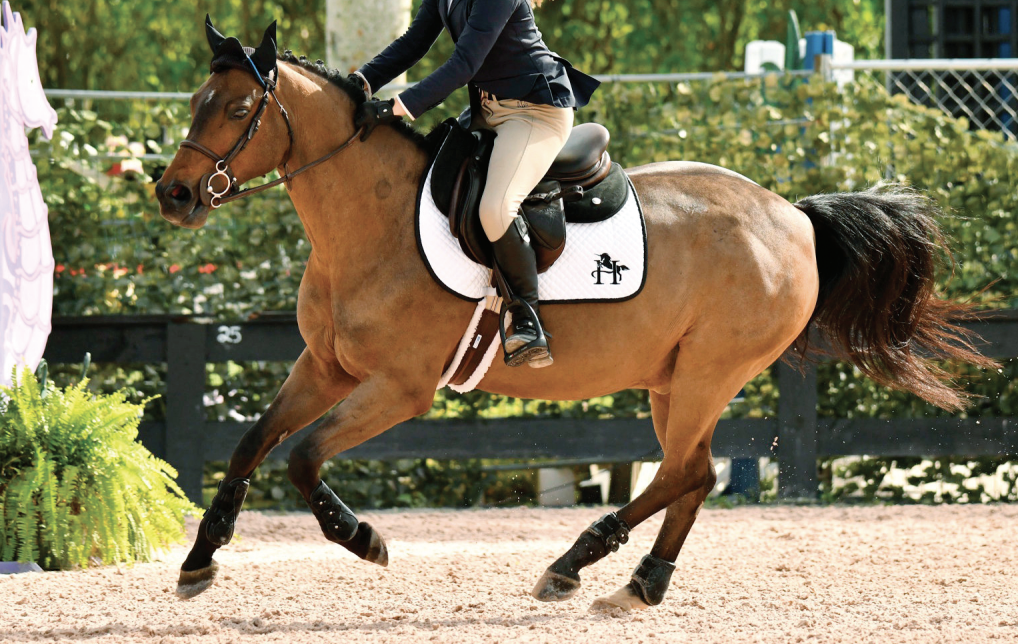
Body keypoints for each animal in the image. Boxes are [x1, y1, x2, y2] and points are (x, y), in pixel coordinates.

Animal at [155, 33, 995, 611]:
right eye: (197, 100)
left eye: (238, 109)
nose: (174, 195)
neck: (370, 222)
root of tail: (792, 214)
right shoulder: (324, 367)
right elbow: (251, 443)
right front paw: (199, 560)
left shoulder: (399, 388)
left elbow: (301, 456)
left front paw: (365, 539)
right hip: (675, 378)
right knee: (692, 475)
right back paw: (640, 582)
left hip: (710, 370)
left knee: (684, 471)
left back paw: (574, 563)